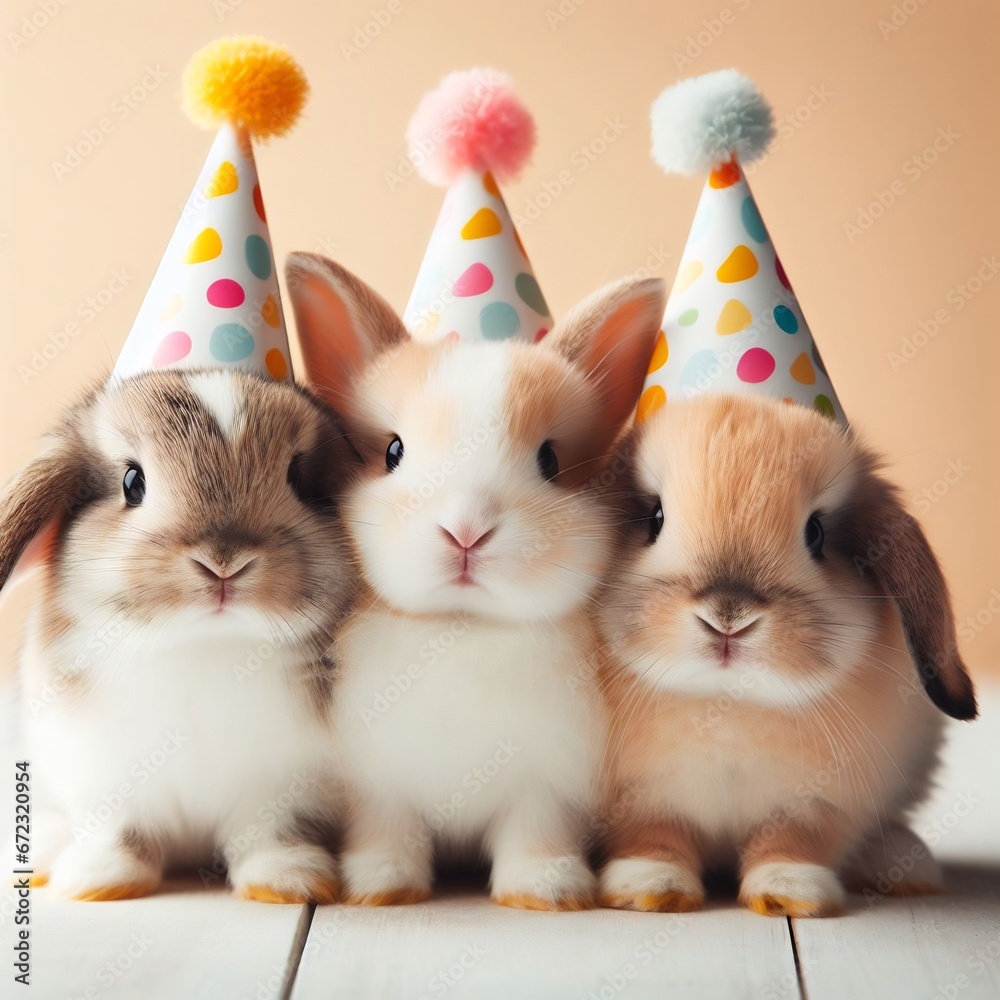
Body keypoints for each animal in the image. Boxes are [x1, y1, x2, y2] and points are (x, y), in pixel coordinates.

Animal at [1, 368, 356, 902]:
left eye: (296, 476)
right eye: (132, 482)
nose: (224, 561)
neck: (203, 645)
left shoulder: (283, 786)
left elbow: (271, 832)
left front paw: (288, 882)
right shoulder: (104, 776)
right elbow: (119, 830)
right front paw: (101, 881)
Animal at [286, 252, 666, 910]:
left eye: (550, 461)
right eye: (393, 451)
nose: (466, 530)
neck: (462, 627)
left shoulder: (547, 786)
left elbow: (534, 833)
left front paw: (545, 890)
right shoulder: (377, 786)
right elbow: (388, 831)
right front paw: (382, 886)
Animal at [596, 392, 978, 917]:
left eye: (816, 533)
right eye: (654, 517)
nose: (729, 617)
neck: (728, 704)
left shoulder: (820, 806)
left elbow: (791, 844)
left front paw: (789, 894)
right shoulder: (640, 800)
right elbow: (653, 838)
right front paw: (652, 889)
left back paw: (906, 865)